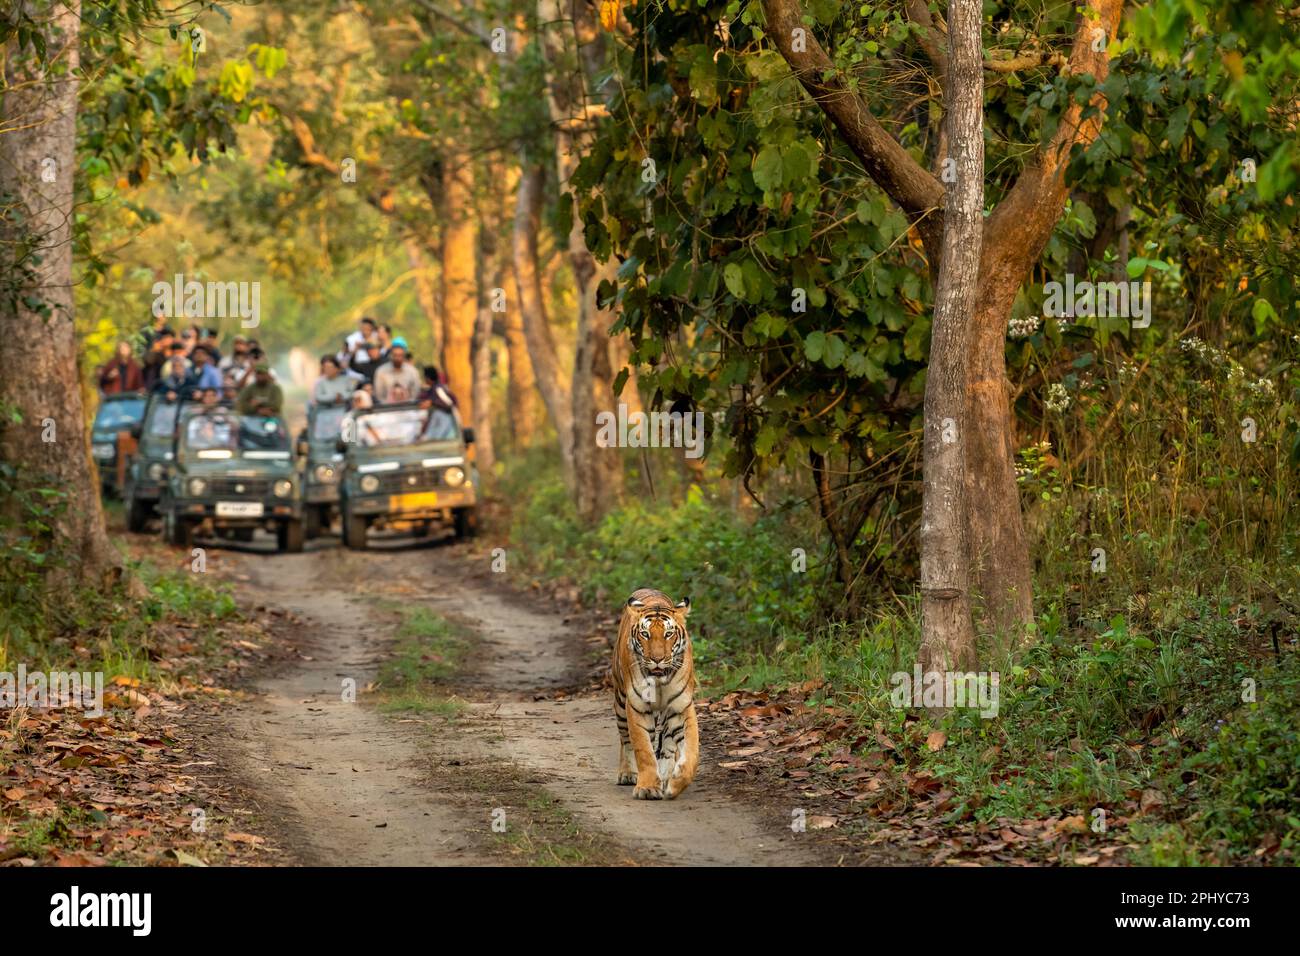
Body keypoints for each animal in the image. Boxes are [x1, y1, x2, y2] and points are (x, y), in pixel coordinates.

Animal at [611, 588, 699, 800]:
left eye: (668, 634)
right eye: (645, 634)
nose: (657, 659)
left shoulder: (681, 707)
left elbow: (691, 750)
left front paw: (676, 783)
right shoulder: (637, 707)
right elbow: (644, 751)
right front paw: (648, 788)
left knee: (666, 745)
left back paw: (666, 775)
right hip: (620, 702)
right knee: (626, 740)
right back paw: (628, 773)